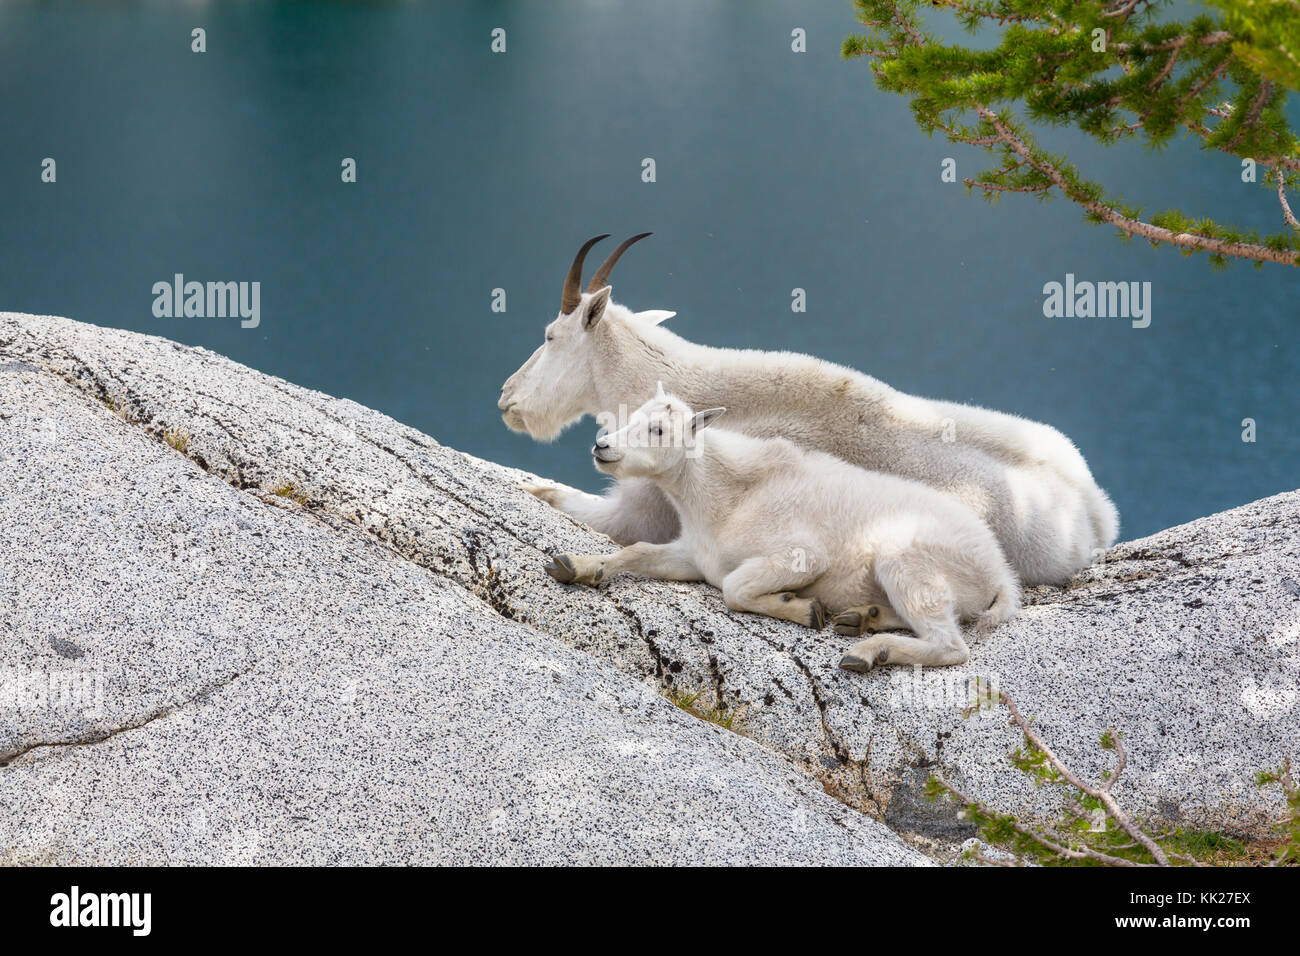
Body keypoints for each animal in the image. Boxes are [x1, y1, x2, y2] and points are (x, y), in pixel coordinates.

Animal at [544, 386, 1020, 670]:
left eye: (658, 429)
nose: (602, 446)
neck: (723, 497)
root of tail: (1000, 576)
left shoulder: (800, 555)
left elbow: (735, 588)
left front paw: (800, 607)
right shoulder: (694, 557)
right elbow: (637, 550)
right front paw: (576, 566)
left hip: (908, 560)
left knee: (951, 645)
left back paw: (867, 650)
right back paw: (862, 618)